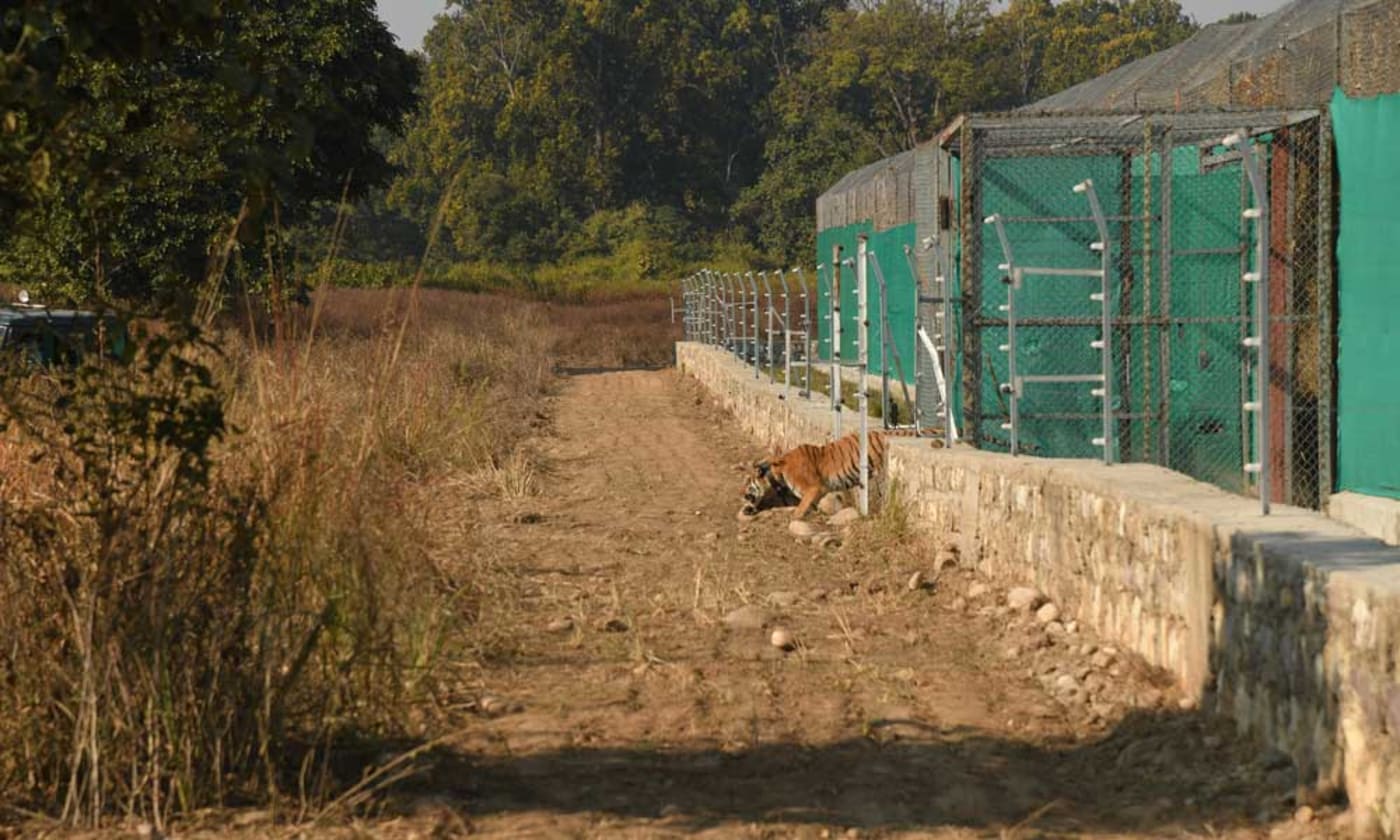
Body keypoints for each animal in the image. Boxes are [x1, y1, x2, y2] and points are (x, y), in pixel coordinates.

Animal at [741, 429, 924, 520]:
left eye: (747, 487)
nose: (743, 499)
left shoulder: (815, 488)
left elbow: (798, 510)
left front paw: (794, 518)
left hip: (881, 474)